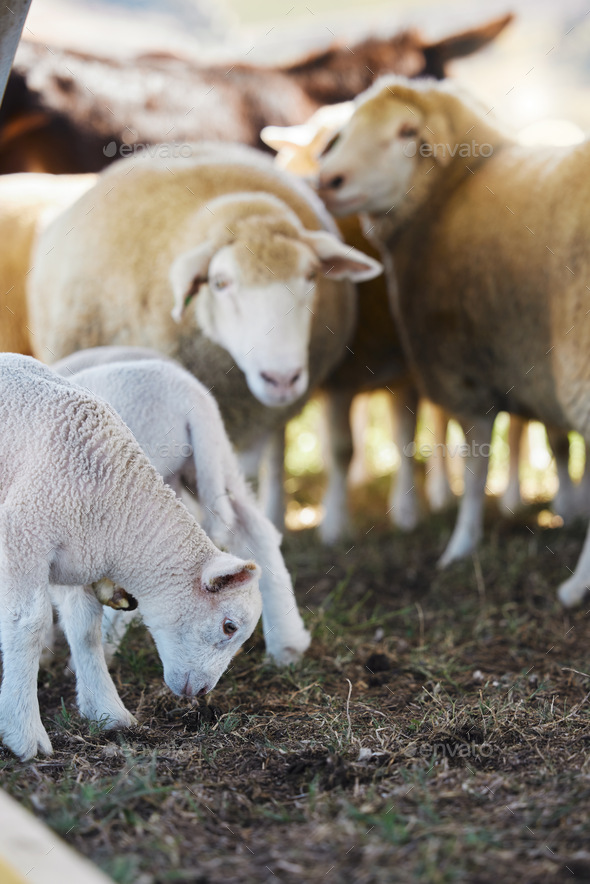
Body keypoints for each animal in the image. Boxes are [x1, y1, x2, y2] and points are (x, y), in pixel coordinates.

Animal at [0, 354, 262, 761]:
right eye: (229, 626)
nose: (203, 692)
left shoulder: (77, 560)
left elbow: (86, 629)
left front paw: (106, 710)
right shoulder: (24, 533)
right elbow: (26, 624)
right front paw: (22, 731)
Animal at [317, 75, 590, 605]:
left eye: (407, 131)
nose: (328, 180)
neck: (449, 194)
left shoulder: (461, 372)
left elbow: (476, 465)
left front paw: (461, 545)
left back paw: (575, 588)